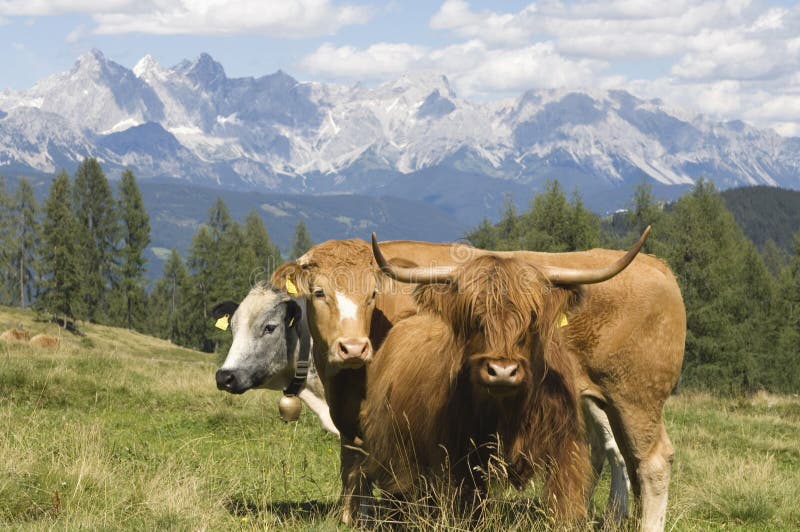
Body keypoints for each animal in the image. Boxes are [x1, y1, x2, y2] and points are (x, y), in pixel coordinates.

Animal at [365, 230, 685, 532]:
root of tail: (656, 264)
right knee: (621, 457)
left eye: (531, 318)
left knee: (652, 461)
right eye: (474, 318)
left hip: (637, 398)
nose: (502, 370)